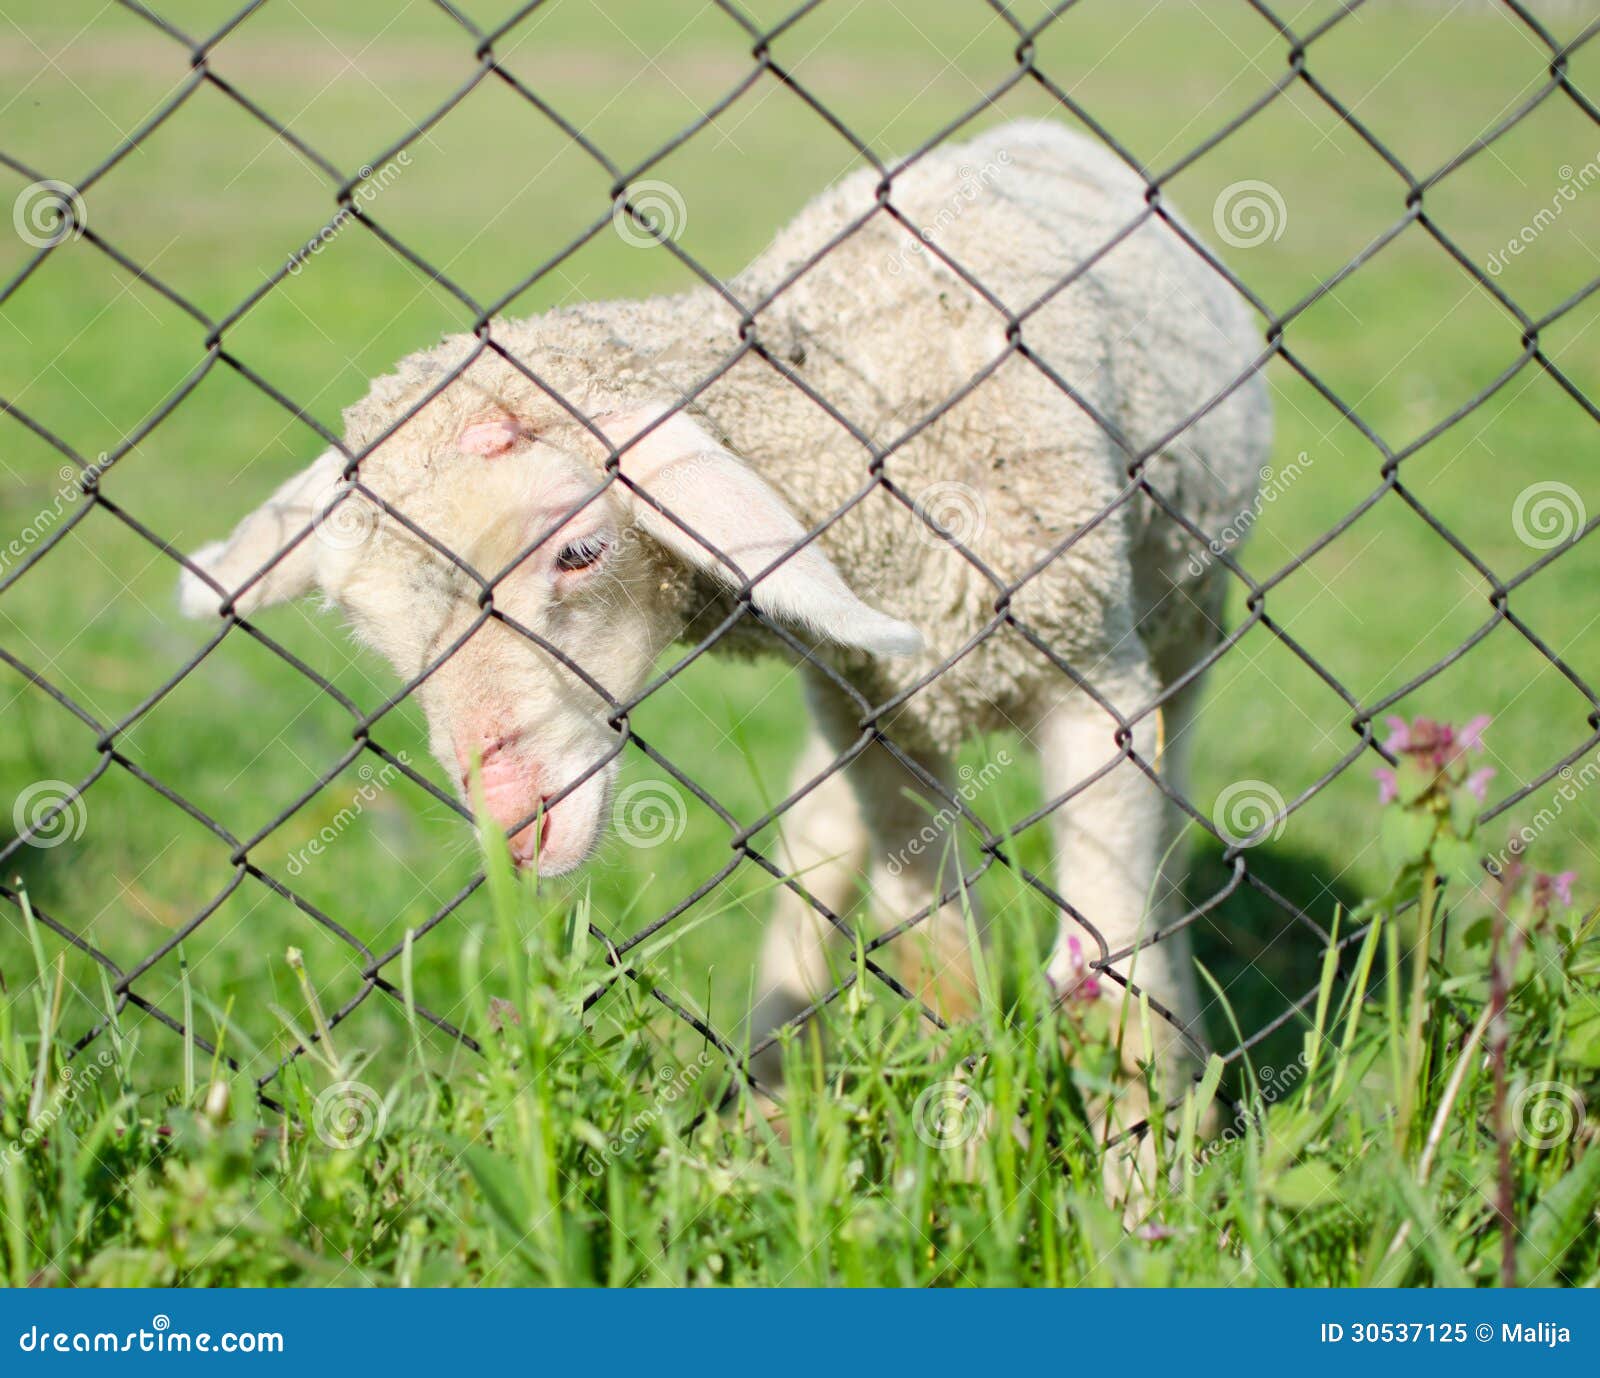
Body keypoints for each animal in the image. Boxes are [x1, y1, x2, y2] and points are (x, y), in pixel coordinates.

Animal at [178, 119, 1271, 1107]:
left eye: (580, 551)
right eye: (371, 629)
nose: (511, 823)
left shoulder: (1090, 680)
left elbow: (1112, 999)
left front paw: (1140, 1176)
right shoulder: (879, 718)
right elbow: (943, 982)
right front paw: (969, 1147)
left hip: (1183, 623)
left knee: (1167, 835)